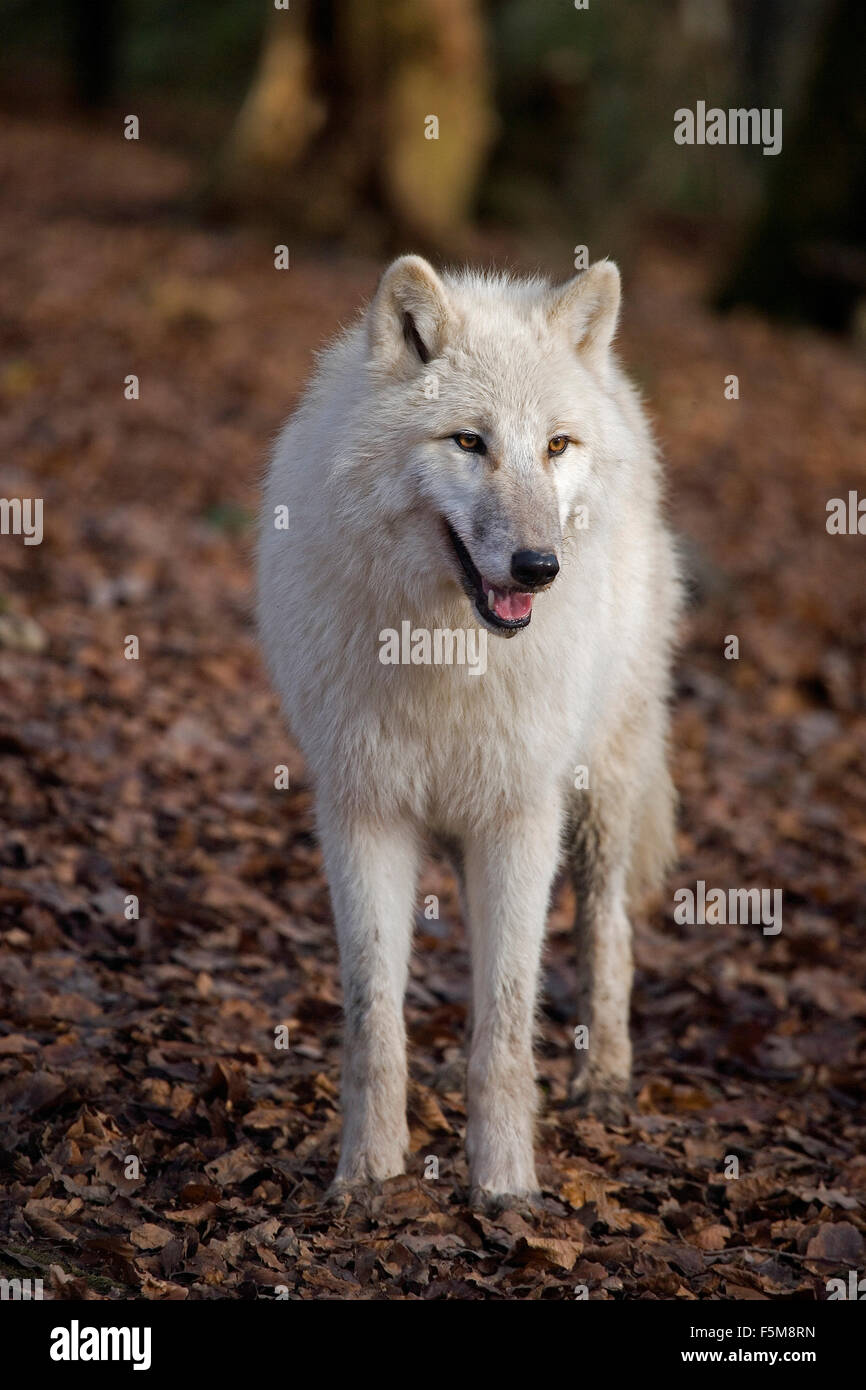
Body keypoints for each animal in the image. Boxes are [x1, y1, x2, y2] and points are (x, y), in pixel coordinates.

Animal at [257, 254, 682, 1201]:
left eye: (554, 446)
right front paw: (367, 1176)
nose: (538, 566)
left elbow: (511, 1019)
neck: (449, 652)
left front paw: (505, 1185)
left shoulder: (521, 815)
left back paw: (604, 1077)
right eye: (467, 443)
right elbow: (374, 1018)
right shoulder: (365, 811)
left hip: (599, 791)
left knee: (608, 929)